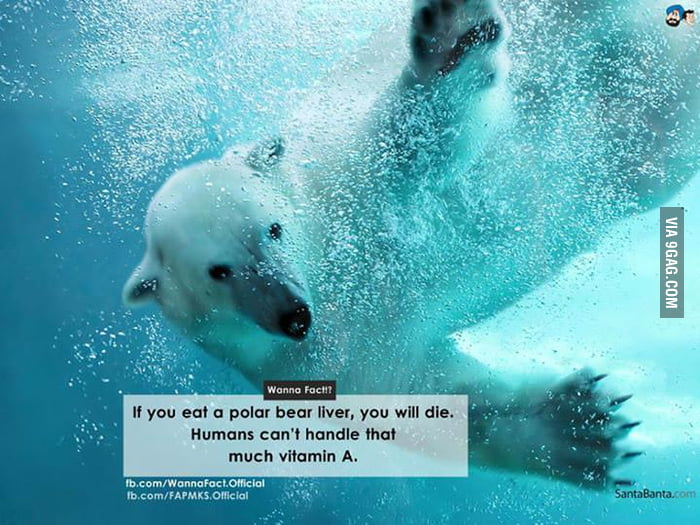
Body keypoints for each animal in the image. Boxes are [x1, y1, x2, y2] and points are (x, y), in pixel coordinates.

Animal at [123, 0, 698, 488]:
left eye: (273, 229)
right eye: (218, 272)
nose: (295, 315)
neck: (330, 262)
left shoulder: (348, 173)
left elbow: (418, 135)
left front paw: (453, 38)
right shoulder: (326, 359)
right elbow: (431, 398)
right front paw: (582, 428)